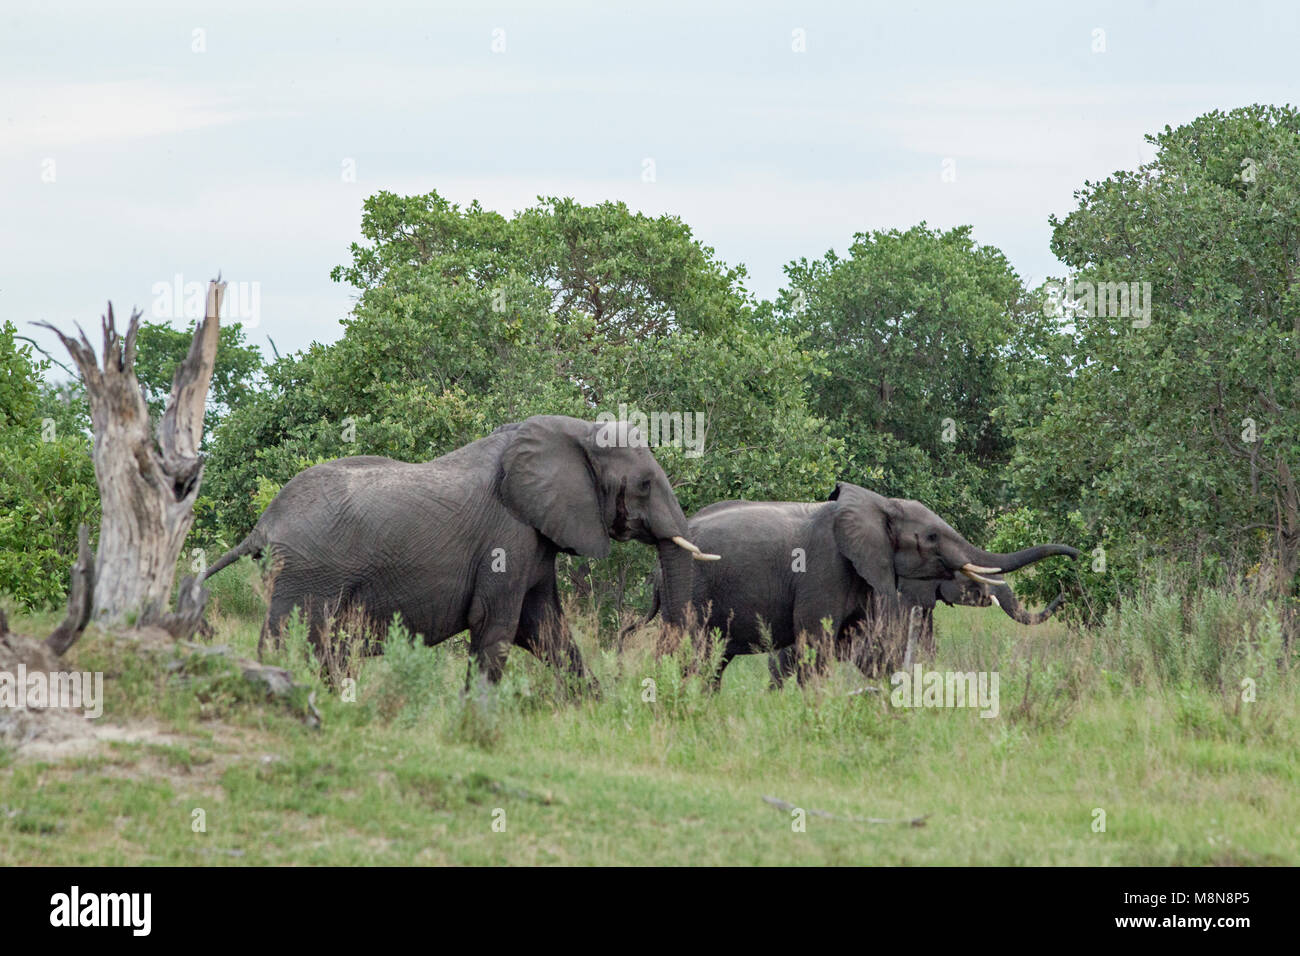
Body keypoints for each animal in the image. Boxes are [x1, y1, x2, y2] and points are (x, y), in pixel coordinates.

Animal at [203, 415, 717, 691]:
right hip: (308, 573)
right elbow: (498, 625)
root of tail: (263, 524)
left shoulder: (535, 538)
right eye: (645, 484)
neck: (578, 431)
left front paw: (593, 705)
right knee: (294, 638)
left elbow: (545, 628)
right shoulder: (507, 535)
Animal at [619, 481, 1078, 687]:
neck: (879, 504)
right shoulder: (825, 567)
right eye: (931, 537)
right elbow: (818, 640)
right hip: (688, 588)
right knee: (687, 649)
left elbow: (869, 646)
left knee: (715, 658)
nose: (1074, 558)